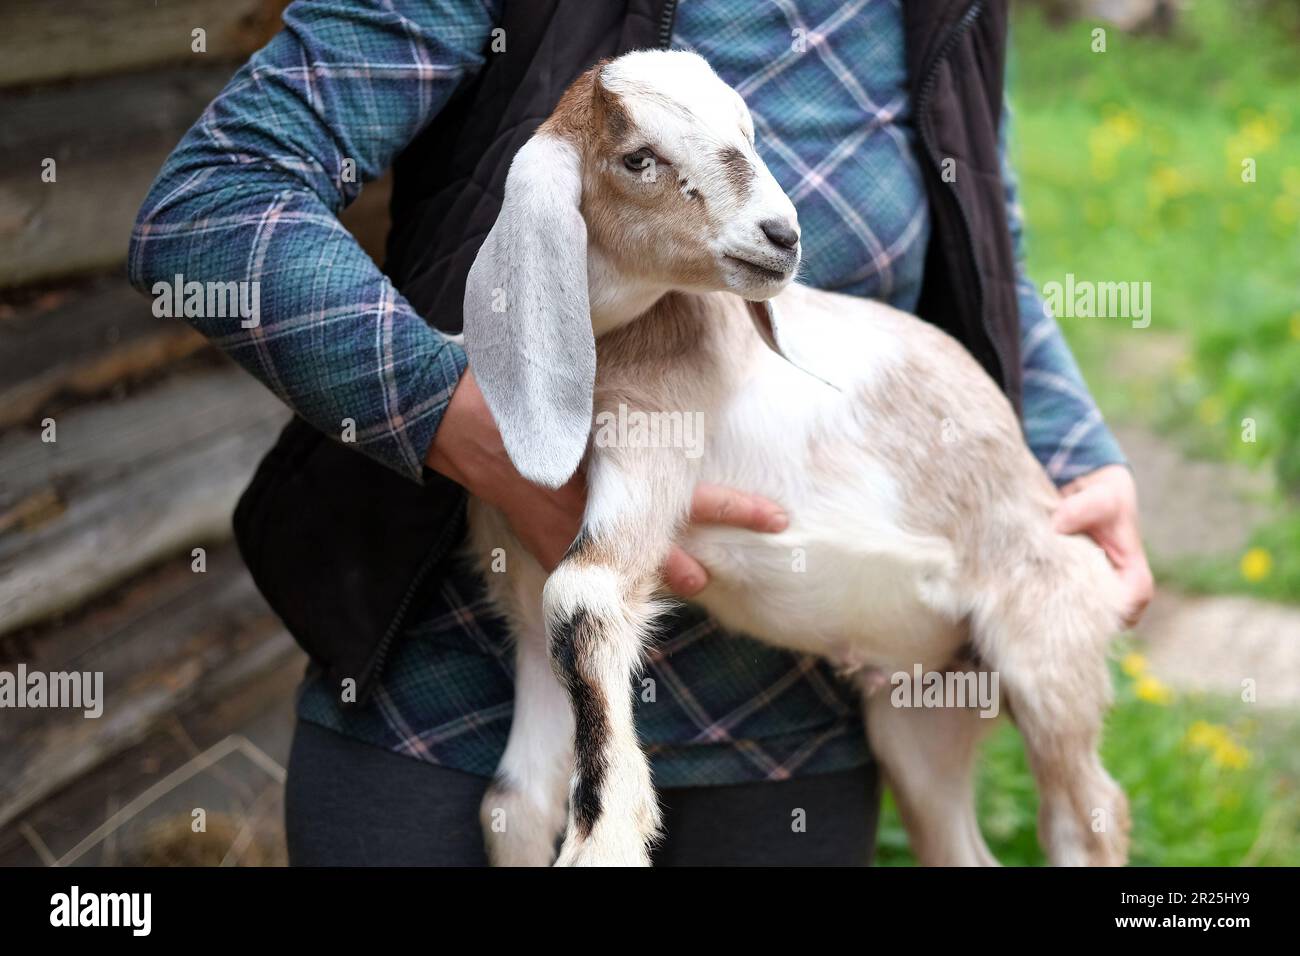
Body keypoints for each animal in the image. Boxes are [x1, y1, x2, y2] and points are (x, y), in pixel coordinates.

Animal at [460, 50, 1129, 866]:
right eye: (638, 158)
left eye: (746, 132)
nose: (780, 235)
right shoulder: (522, 592)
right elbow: (512, 801)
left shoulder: (655, 435)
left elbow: (583, 595)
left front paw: (606, 839)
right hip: (925, 708)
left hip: (1048, 648)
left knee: (1087, 813)